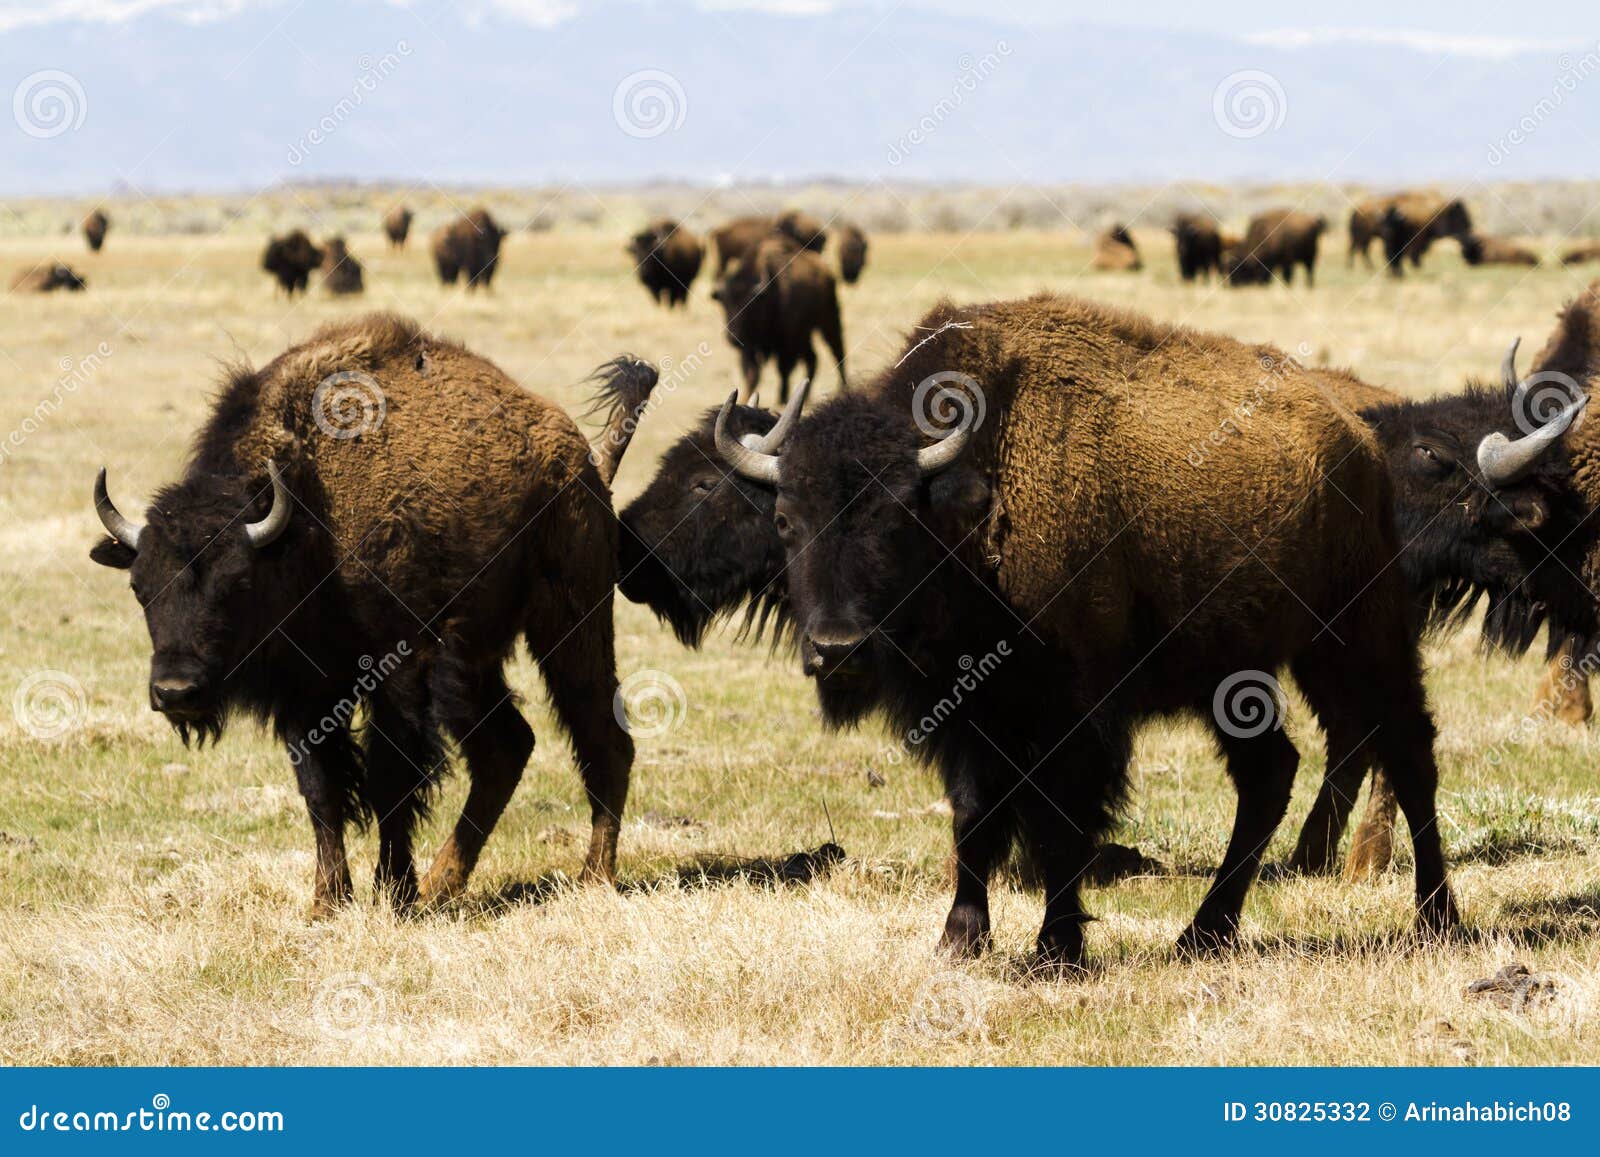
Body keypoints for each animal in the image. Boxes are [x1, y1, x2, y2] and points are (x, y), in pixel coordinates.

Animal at [90, 315, 653, 915]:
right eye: (139, 587)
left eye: (237, 583)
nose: (176, 692)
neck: (306, 524)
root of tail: (584, 463)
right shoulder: (308, 692)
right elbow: (321, 789)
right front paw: (328, 901)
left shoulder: (399, 672)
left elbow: (391, 778)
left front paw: (393, 892)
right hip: (476, 663)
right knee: (508, 748)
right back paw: (442, 884)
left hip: (570, 627)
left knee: (601, 738)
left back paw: (592, 878)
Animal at [627, 294, 1456, 965]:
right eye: (786, 522)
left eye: (895, 523)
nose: (838, 651)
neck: (976, 503)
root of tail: (1356, 439)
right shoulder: (970, 712)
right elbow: (975, 815)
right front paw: (960, 938)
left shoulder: (1073, 714)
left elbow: (1060, 822)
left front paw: (1057, 945)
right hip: (1235, 675)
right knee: (1270, 772)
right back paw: (1203, 933)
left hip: (1358, 636)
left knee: (1408, 752)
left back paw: (1436, 920)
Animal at [712, 235, 845, 404]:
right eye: (724, 303)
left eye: (749, 305)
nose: (732, 337)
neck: (769, 293)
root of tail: (826, 272)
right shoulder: (749, 346)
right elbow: (752, 373)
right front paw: (746, 397)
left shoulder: (787, 342)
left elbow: (784, 369)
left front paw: (782, 398)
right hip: (806, 335)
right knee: (812, 358)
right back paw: (807, 396)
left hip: (829, 320)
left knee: (837, 351)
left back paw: (843, 386)